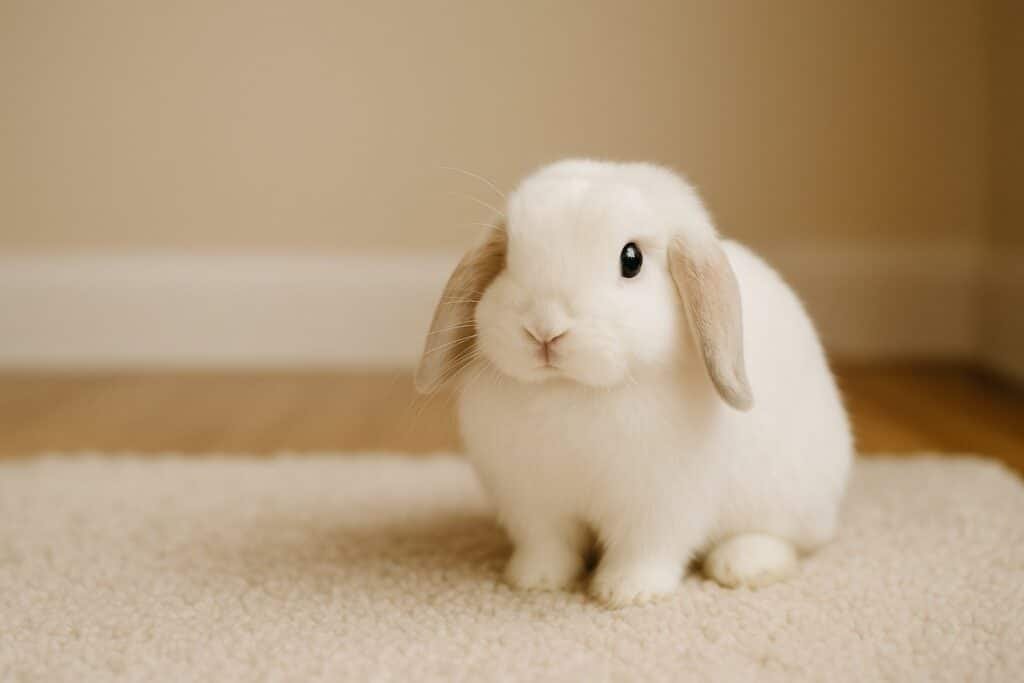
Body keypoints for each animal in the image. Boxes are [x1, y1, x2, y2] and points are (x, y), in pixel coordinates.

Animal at [415, 159, 852, 607]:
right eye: (506, 257)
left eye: (632, 259)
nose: (544, 330)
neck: (572, 389)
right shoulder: (534, 503)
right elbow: (548, 545)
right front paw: (534, 579)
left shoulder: (658, 508)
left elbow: (644, 551)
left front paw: (625, 591)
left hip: (789, 498)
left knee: (783, 538)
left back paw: (742, 564)